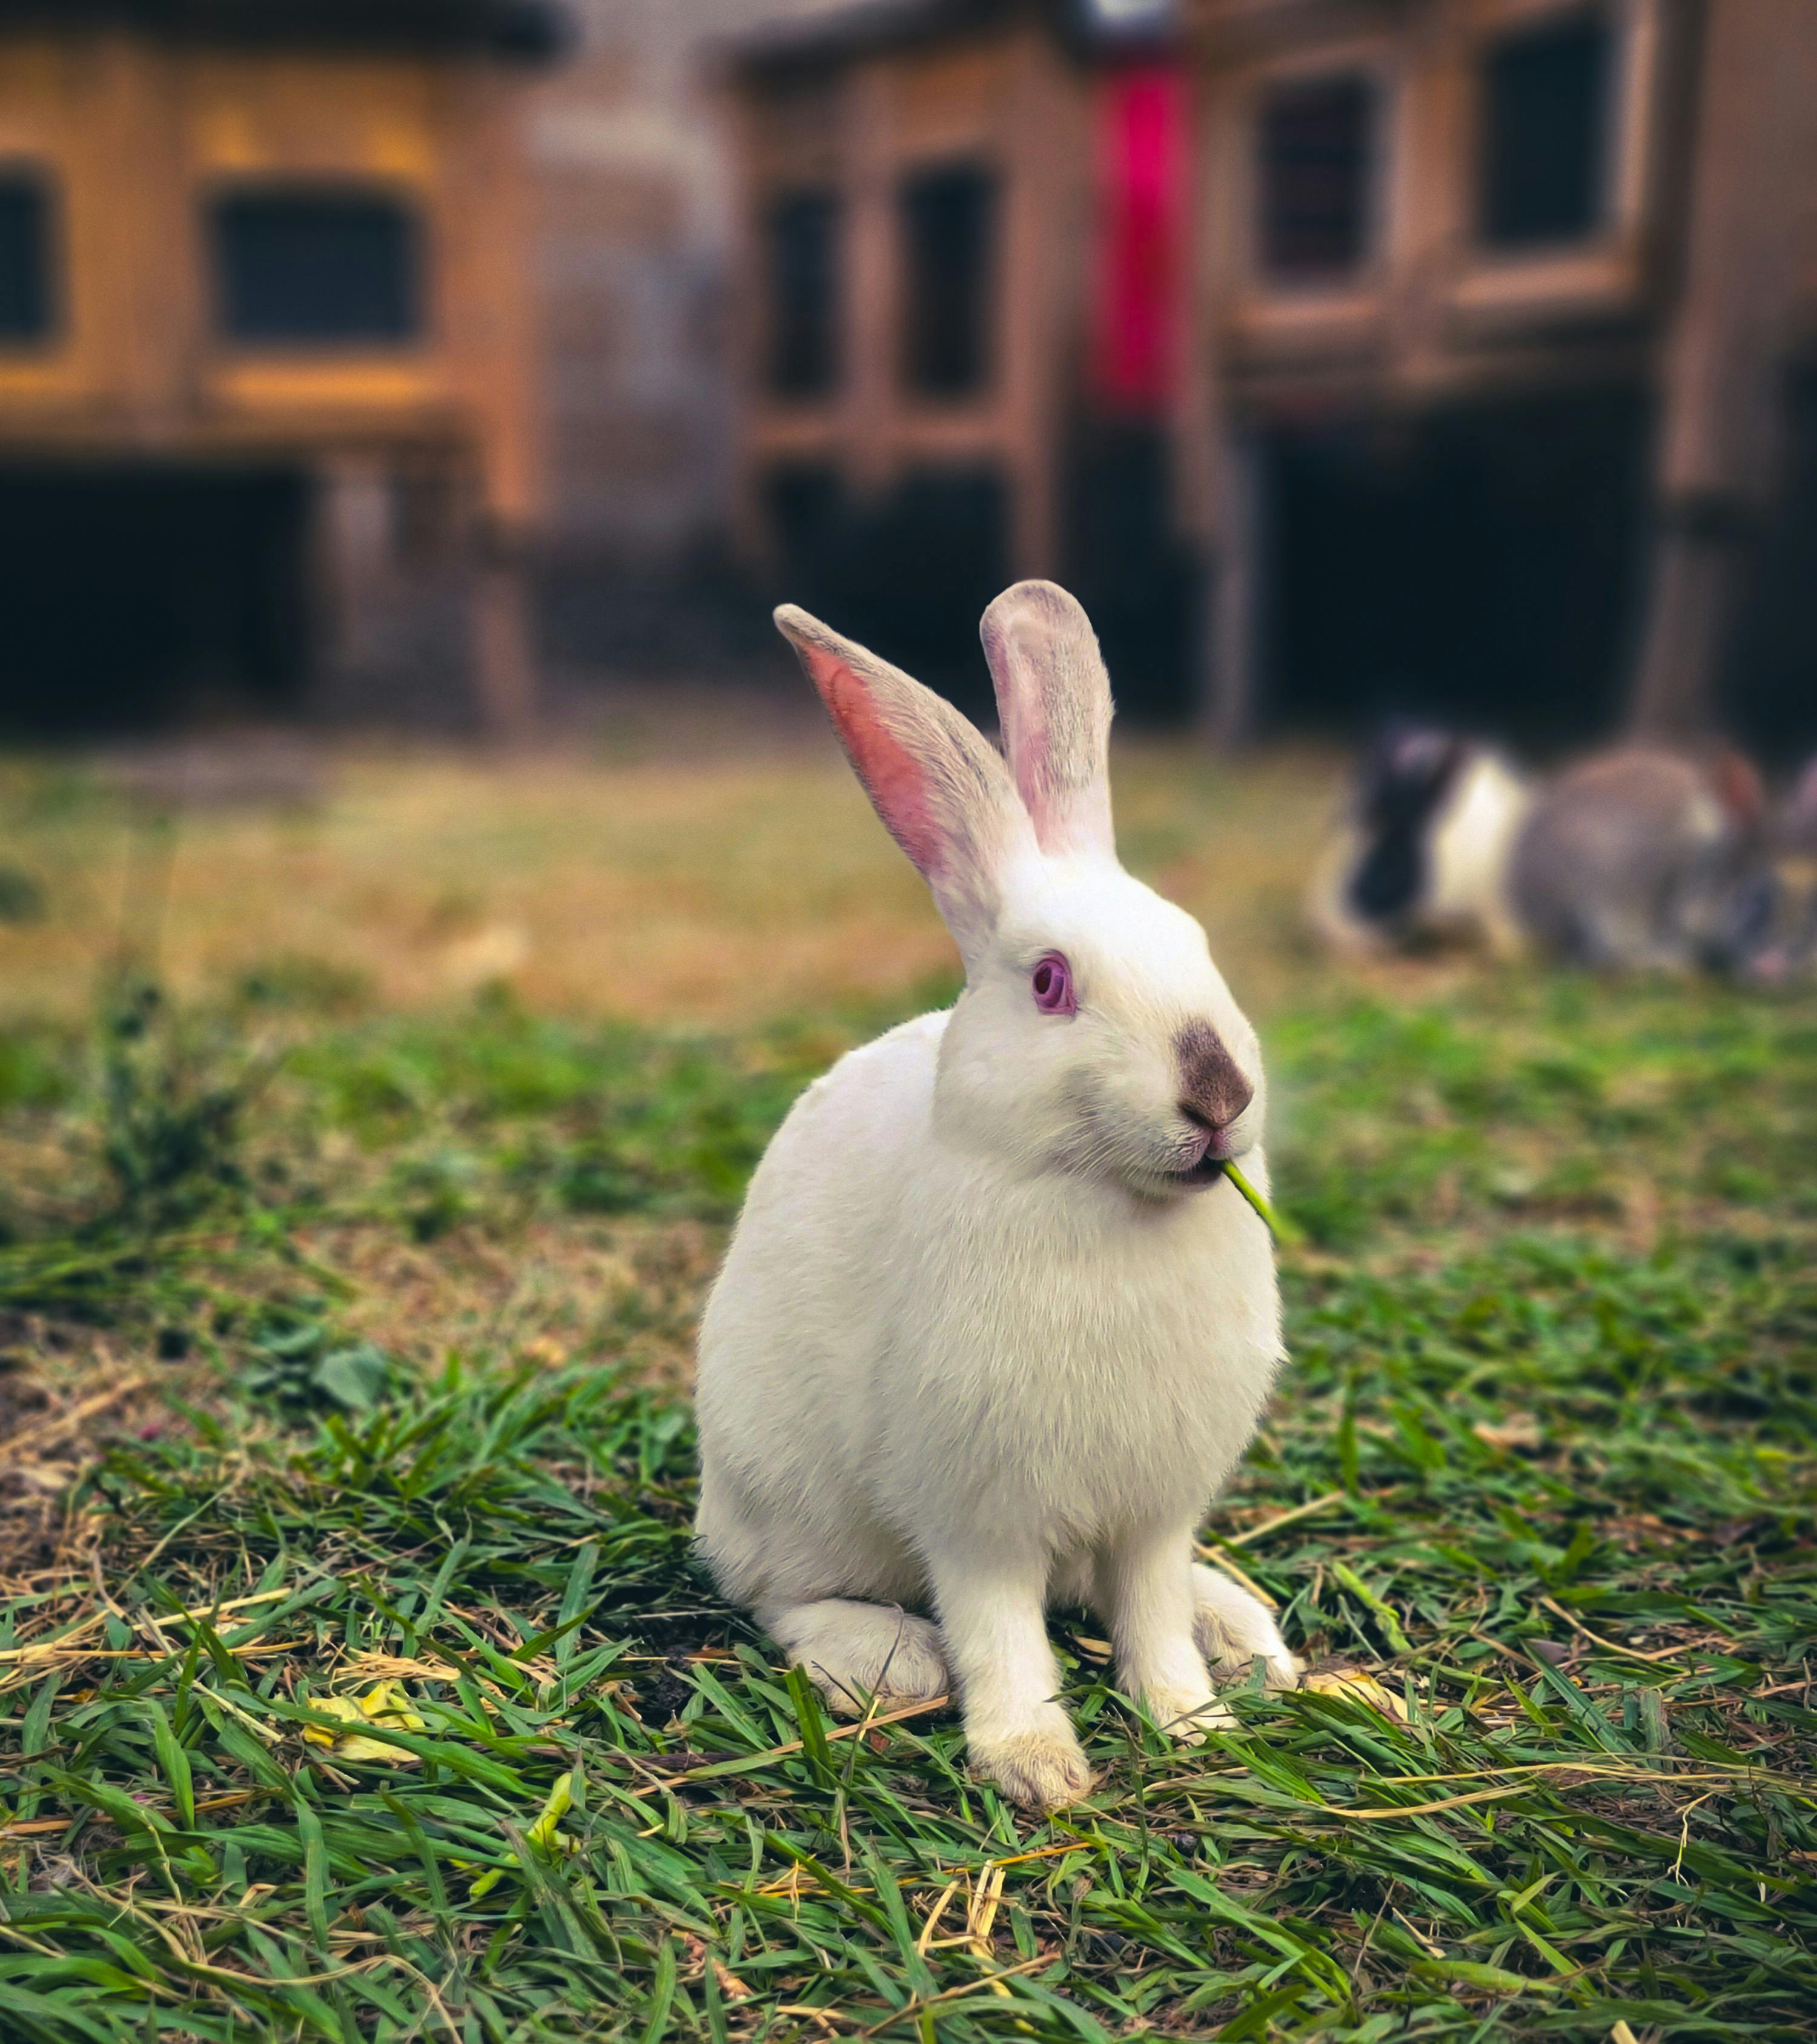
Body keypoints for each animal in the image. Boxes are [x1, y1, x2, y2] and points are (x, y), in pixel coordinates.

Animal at [694, 581, 1297, 1814]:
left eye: (1198, 942)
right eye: (1050, 982)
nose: (1218, 1094)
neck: (1107, 1197)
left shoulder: (1153, 1510)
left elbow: (1149, 1612)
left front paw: (1191, 1720)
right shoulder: (981, 1516)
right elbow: (1002, 1634)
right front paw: (1038, 1767)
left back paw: (1241, 1633)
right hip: (785, 1494)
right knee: (776, 1597)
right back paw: (887, 1656)